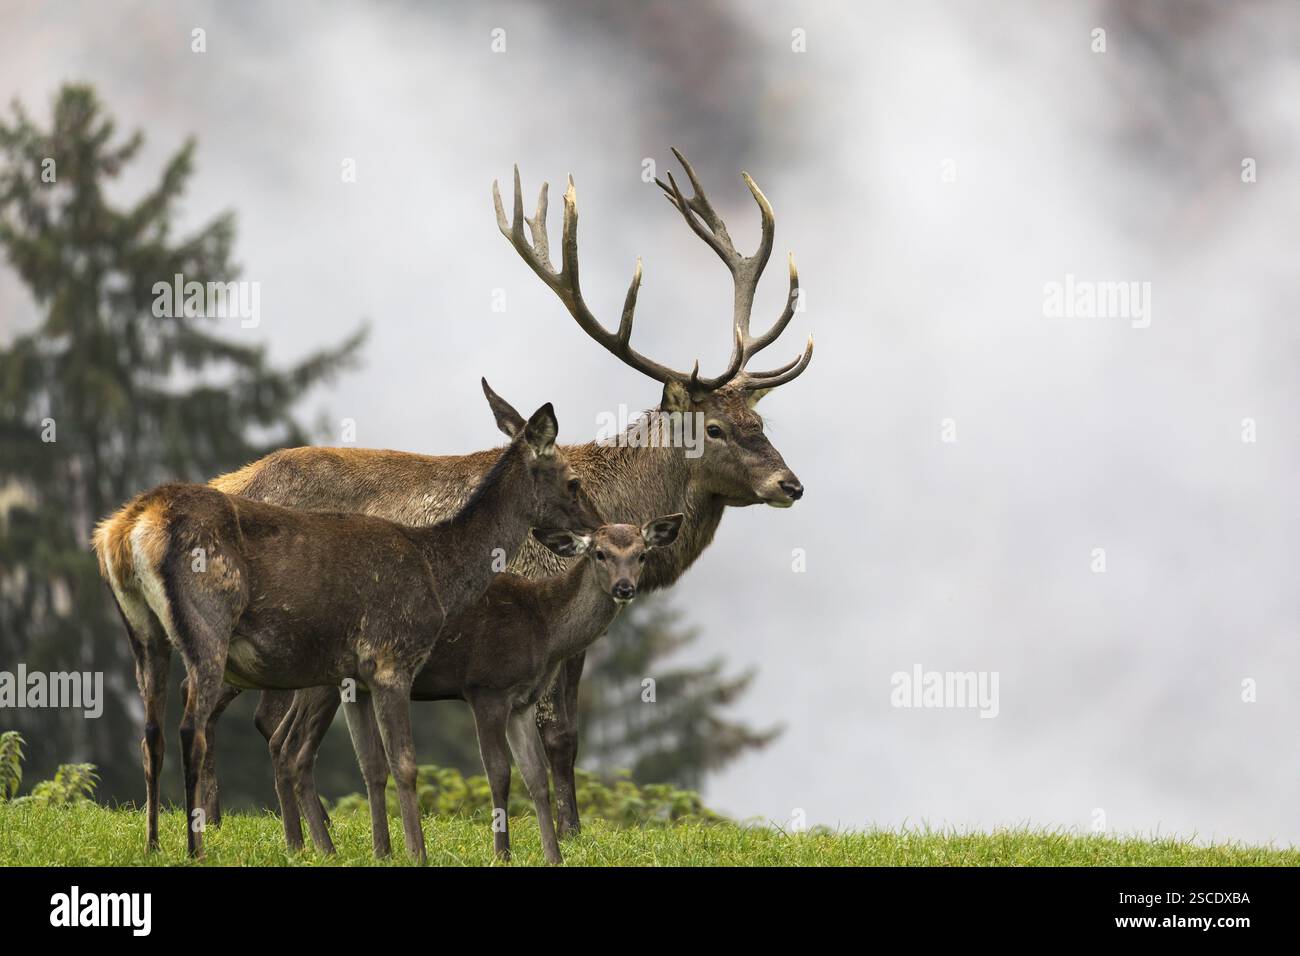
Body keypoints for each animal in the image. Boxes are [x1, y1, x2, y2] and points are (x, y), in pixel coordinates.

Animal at [91, 381, 602, 861]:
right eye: (573, 481)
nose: (598, 527)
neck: (437, 570)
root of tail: (125, 527)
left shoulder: (353, 674)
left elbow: (372, 764)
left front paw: (384, 851)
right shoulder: (391, 656)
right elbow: (404, 763)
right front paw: (416, 854)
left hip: (142, 631)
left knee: (151, 734)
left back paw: (153, 844)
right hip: (209, 623)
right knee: (189, 729)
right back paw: (195, 848)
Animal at [189, 148, 813, 849]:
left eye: (760, 419)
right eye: (716, 428)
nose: (790, 484)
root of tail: (225, 483)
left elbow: (568, 736)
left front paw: (571, 830)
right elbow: (552, 734)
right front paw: (567, 830)